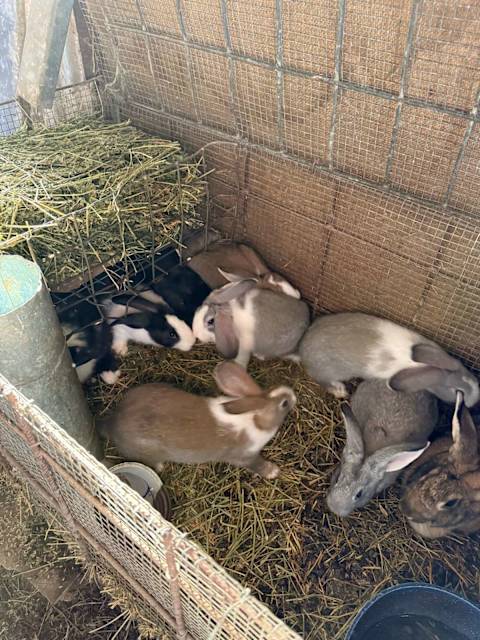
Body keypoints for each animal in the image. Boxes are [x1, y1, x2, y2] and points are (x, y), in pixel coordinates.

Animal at [99, 360, 296, 478]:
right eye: (284, 403)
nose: (293, 394)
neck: (254, 416)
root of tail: (111, 423)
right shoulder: (245, 456)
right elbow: (256, 464)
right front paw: (273, 471)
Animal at [299, 312, 479, 407]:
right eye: (458, 392)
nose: (475, 400)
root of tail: (303, 345)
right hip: (328, 371)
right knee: (324, 380)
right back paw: (340, 390)